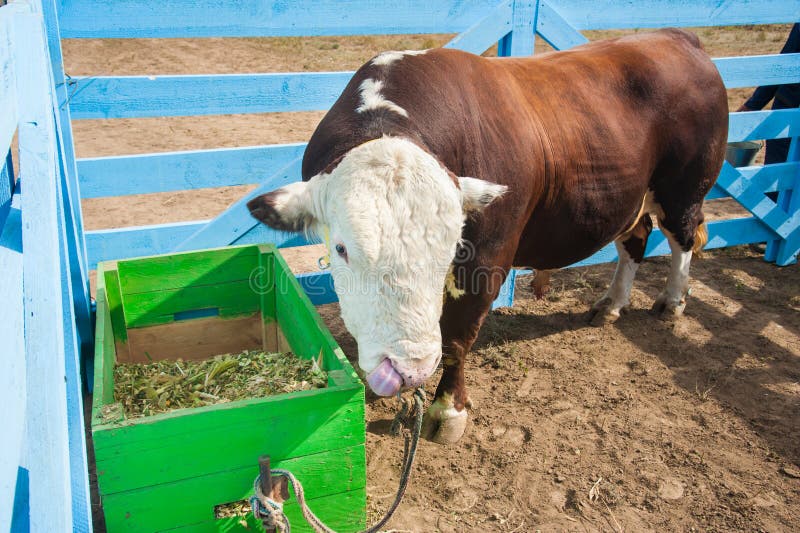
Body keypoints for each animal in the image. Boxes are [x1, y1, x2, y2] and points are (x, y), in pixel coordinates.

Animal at [247, 29, 728, 444]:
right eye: (342, 248)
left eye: (450, 249)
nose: (411, 369)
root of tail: (675, 37)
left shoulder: (486, 260)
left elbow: (458, 337)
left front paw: (448, 411)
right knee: (635, 239)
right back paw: (611, 304)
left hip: (684, 188)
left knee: (682, 238)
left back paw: (672, 301)